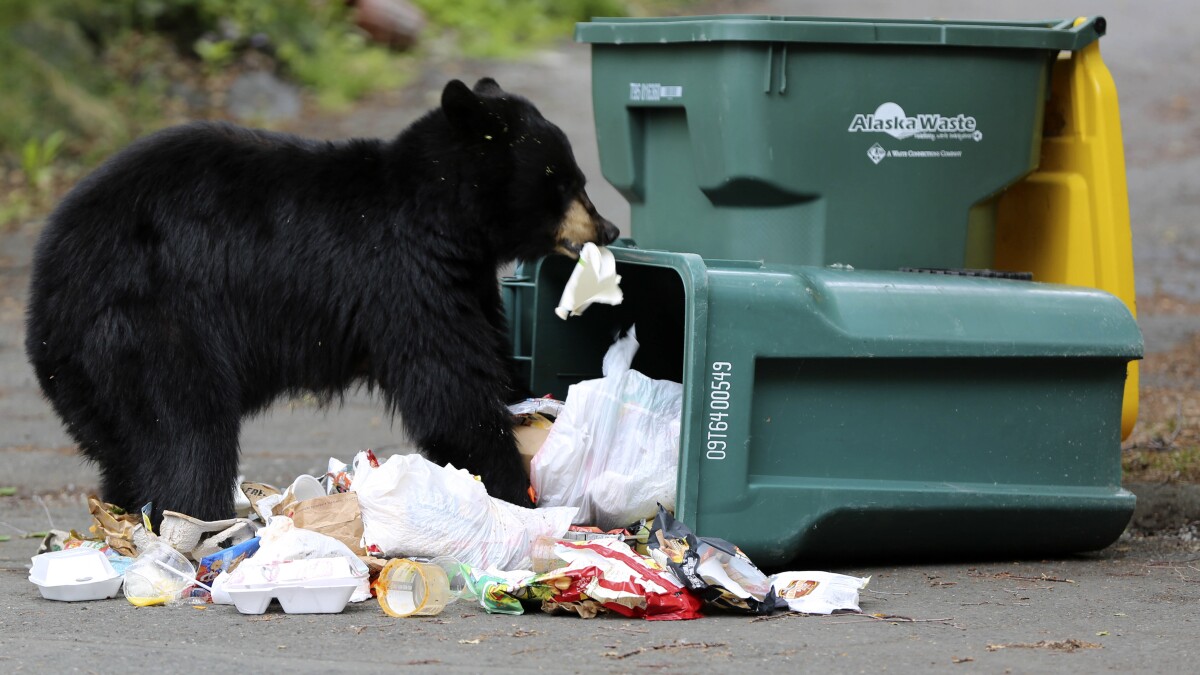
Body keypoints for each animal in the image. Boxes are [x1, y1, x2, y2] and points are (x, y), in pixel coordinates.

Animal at [25, 77, 618, 524]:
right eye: (563, 180)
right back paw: (200, 525)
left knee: (129, 447)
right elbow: (449, 387)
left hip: (94, 378)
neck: (447, 217)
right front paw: (515, 495)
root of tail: (45, 296)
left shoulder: (466, 278)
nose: (607, 228)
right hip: (154, 323)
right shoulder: (404, 277)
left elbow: (489, 352)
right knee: (188, 432)